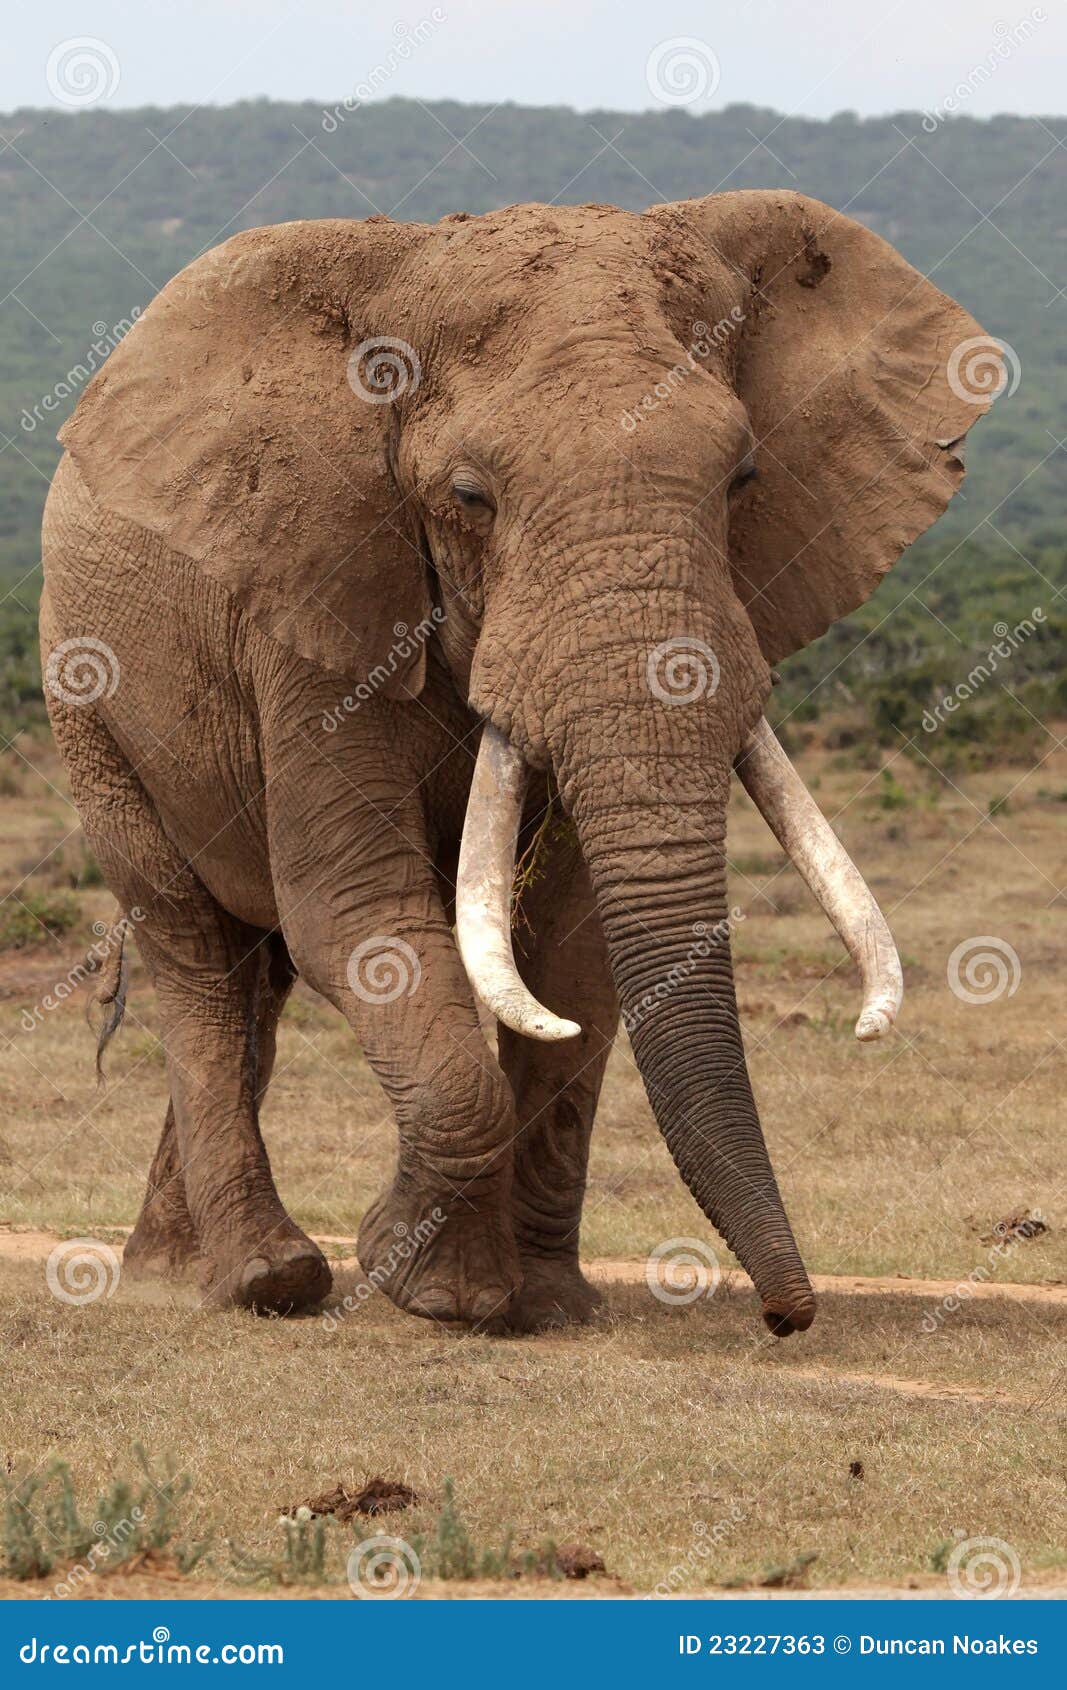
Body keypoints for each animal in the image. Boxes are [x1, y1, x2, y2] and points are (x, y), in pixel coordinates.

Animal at [39, 190, 995, 1336]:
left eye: (743, 478)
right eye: (468, 495)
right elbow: (362, 918)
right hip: (83, 694)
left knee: (257, 973)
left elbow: (574, 950)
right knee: (194, 947)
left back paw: (175, 1265)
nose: (786, 1315)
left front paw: (538, 1301)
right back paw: (262, 1281)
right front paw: (429, 1288)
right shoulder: (312, 603)